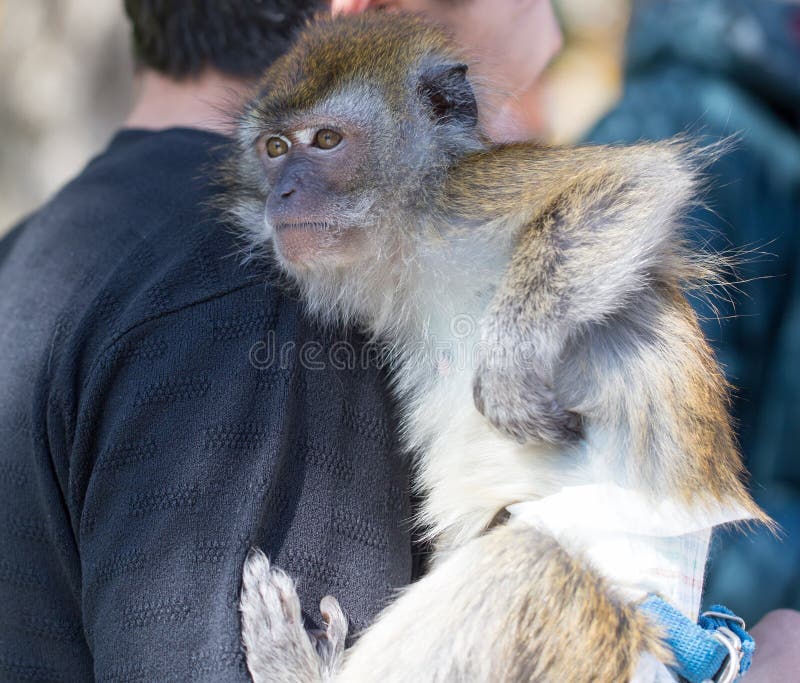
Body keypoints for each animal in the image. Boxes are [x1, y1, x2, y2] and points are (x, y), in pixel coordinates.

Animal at [220, 12, 767, 682]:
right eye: (274, 149)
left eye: (325, 140)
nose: (283, 195)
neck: (405, 241)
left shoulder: (467, 194)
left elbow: (637, 181)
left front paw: (508, 368)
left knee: (537, 560)